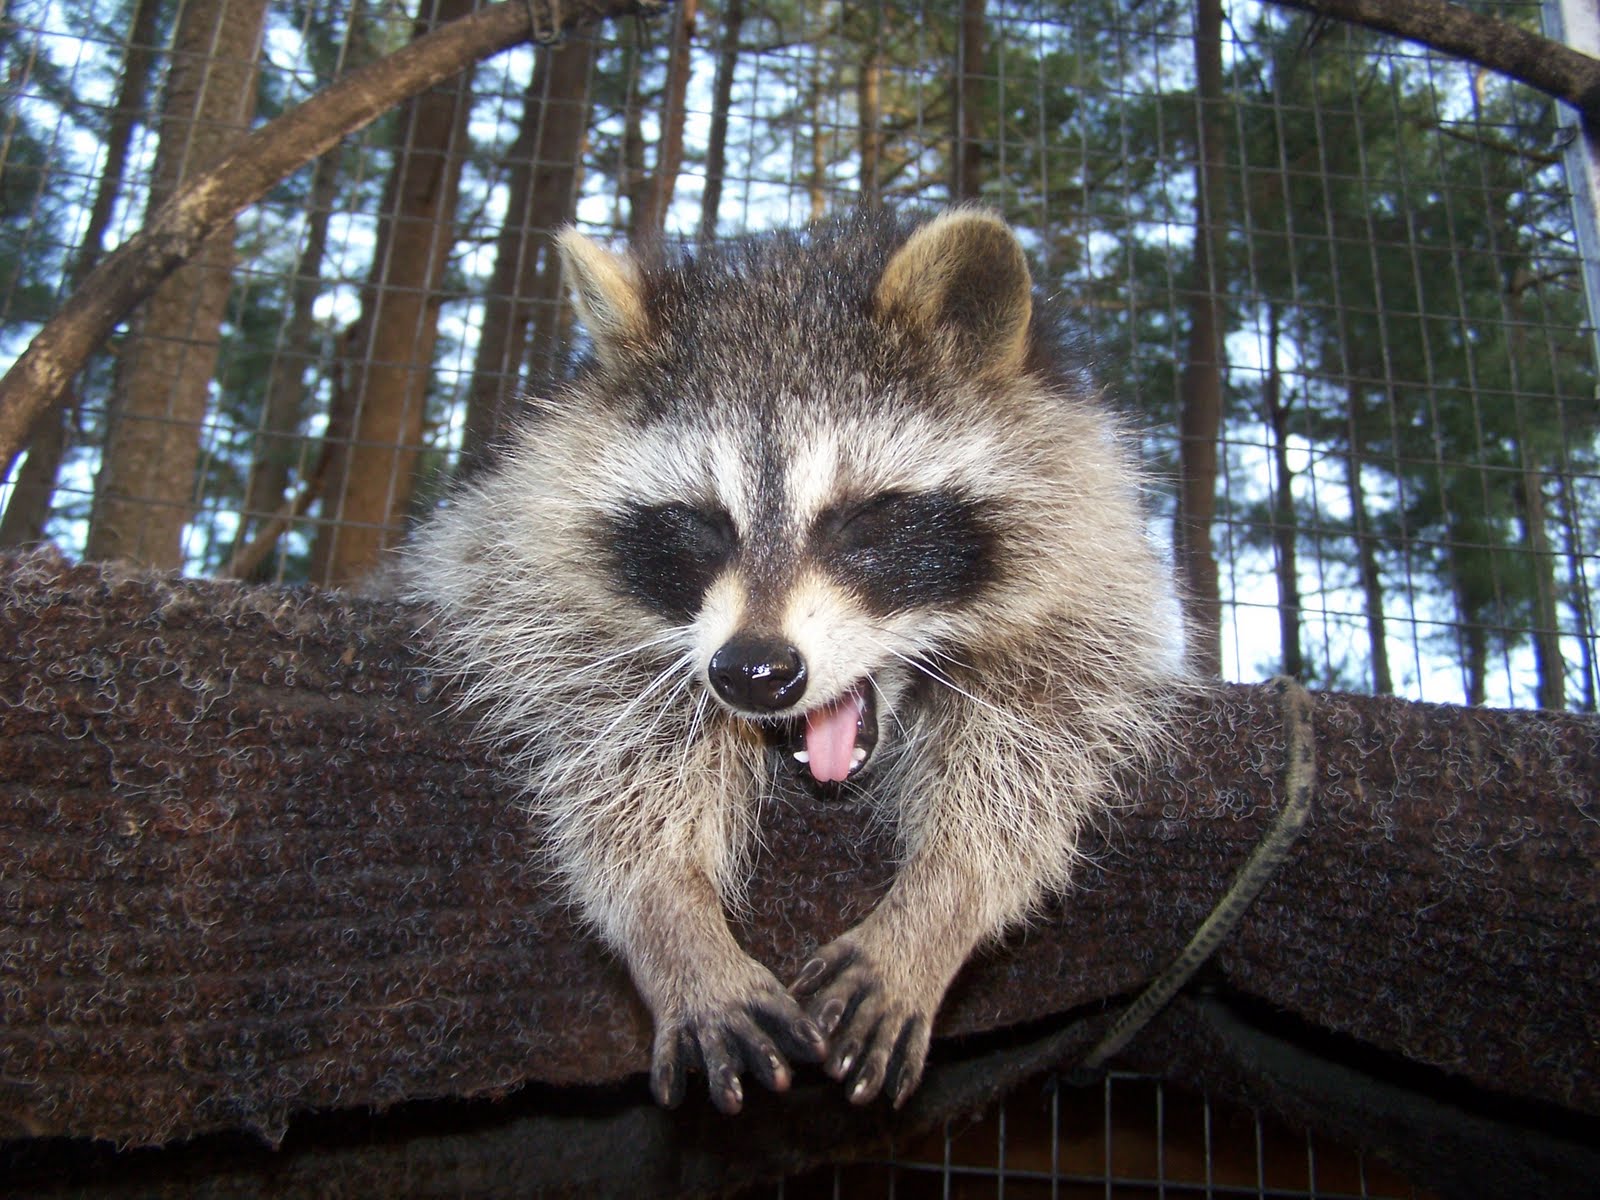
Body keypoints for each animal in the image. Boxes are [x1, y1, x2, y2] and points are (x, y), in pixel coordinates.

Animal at [404, 207, 1188, 1114]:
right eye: (700, 525)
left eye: (862, 521)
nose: (754, 672)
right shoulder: (525, 581)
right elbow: (614, 757)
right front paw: (669, 909)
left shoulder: (1090, 593)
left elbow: (1034, 754)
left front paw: (942, 898)